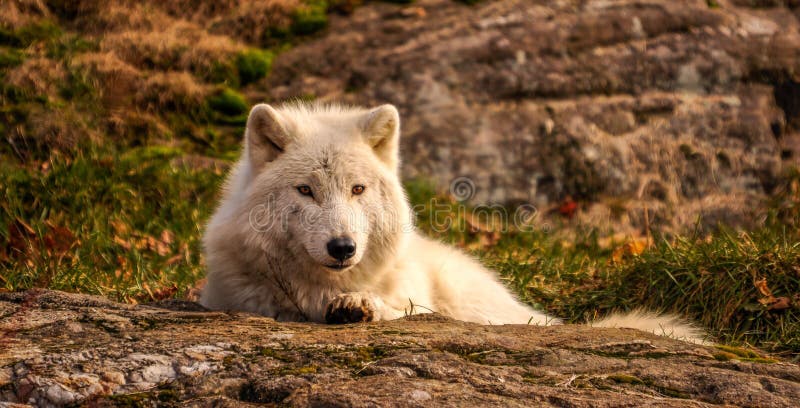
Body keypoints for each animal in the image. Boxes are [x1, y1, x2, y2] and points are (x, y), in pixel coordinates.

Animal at [200, 102, 705, 344]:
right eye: (305, 190)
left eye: (358, 189)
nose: (343, 248)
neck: (319, 290)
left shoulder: (412, 301)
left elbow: (399, 308)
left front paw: (359, 305)